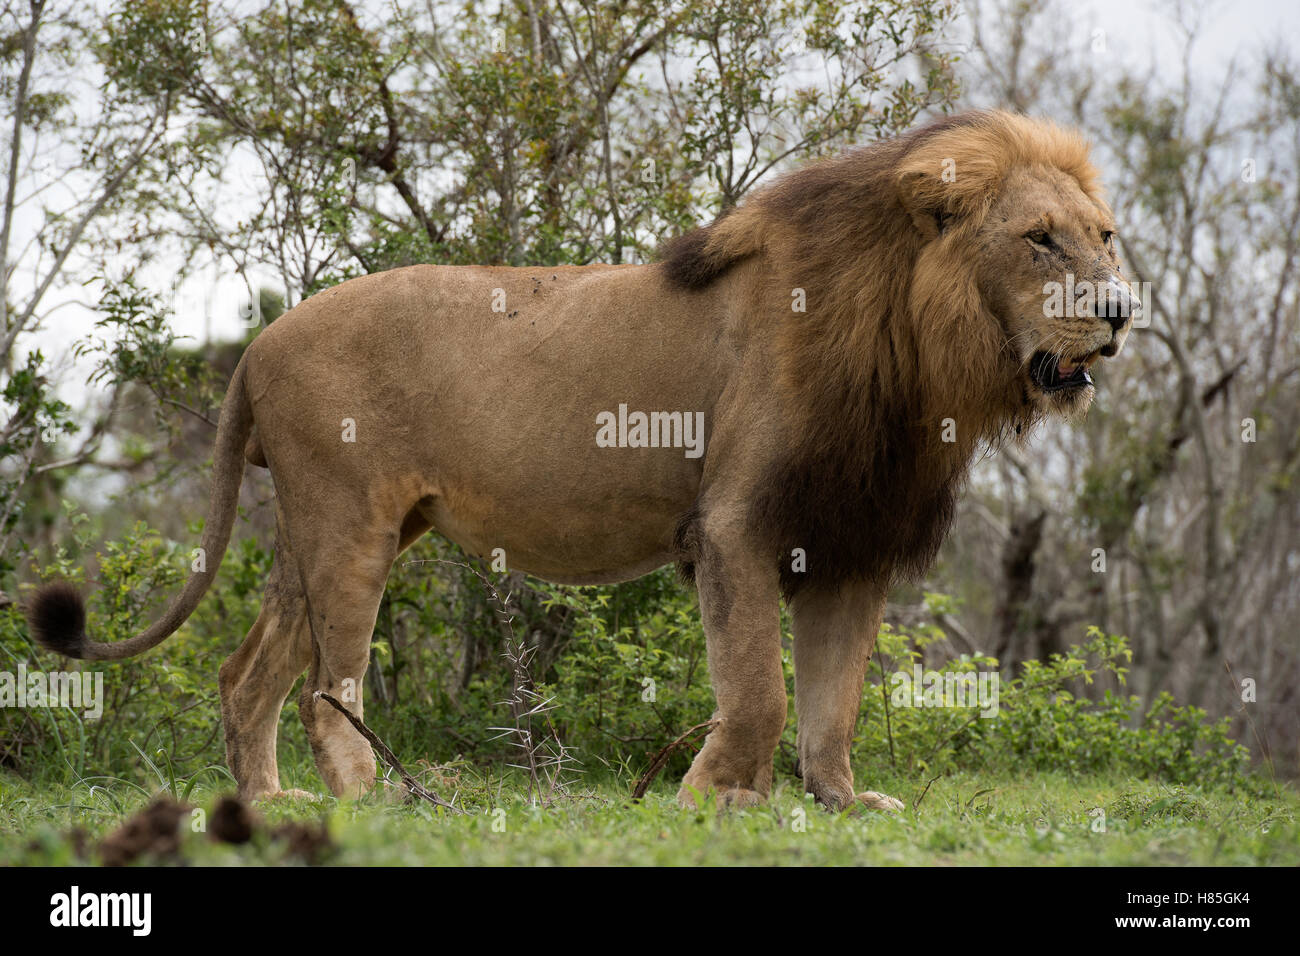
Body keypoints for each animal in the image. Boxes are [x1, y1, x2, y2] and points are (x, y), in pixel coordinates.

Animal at [28, 110, 1136, 811]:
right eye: (1039, 241)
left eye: (1105, 236)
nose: (1120, 312)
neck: (914, 354)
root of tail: (258, 341)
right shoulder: (734, 522)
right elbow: (761, 689)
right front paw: (715, 797)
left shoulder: (849, 539)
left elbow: (833, 702)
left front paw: (840, 800)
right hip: (349, 527)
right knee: (324, 685)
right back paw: (361, 794)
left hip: (319, 531)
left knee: (243, 673)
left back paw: (270, 800)